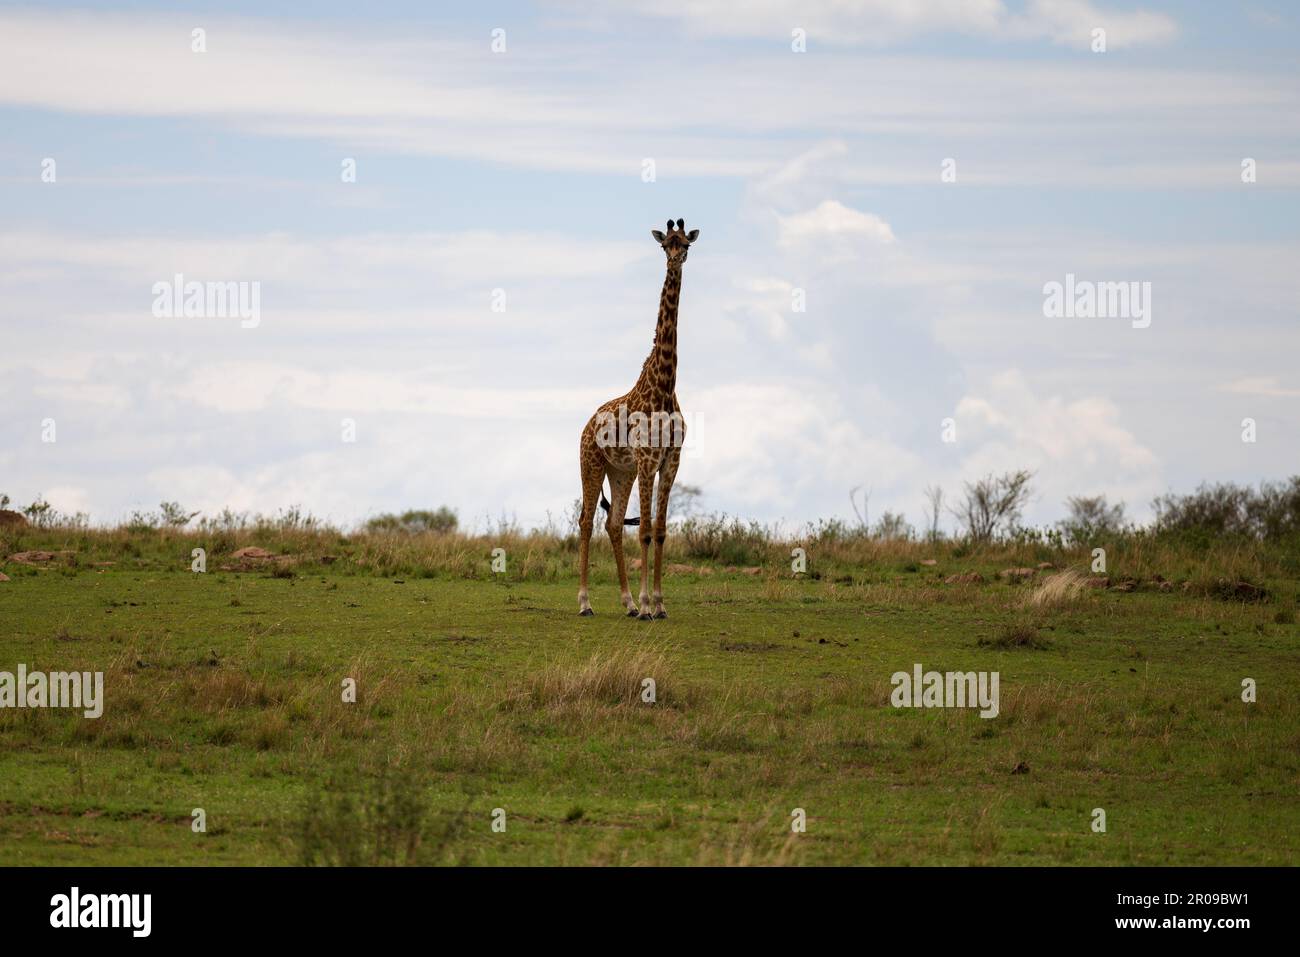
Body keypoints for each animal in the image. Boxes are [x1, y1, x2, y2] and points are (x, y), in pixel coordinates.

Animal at [576, 218, 699, 619]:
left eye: (685, 245)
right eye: (665, 245)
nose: (675, 261)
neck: (664, 386)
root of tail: (586, 425)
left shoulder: (671, 460)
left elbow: (659, 531)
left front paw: (658, 604)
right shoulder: (647, 459)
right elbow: (644, 530)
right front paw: (648, 606)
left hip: (621, 471)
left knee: (613, 524)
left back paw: (627, 602)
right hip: (592, 463)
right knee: (586, 521)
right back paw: (585, 602)